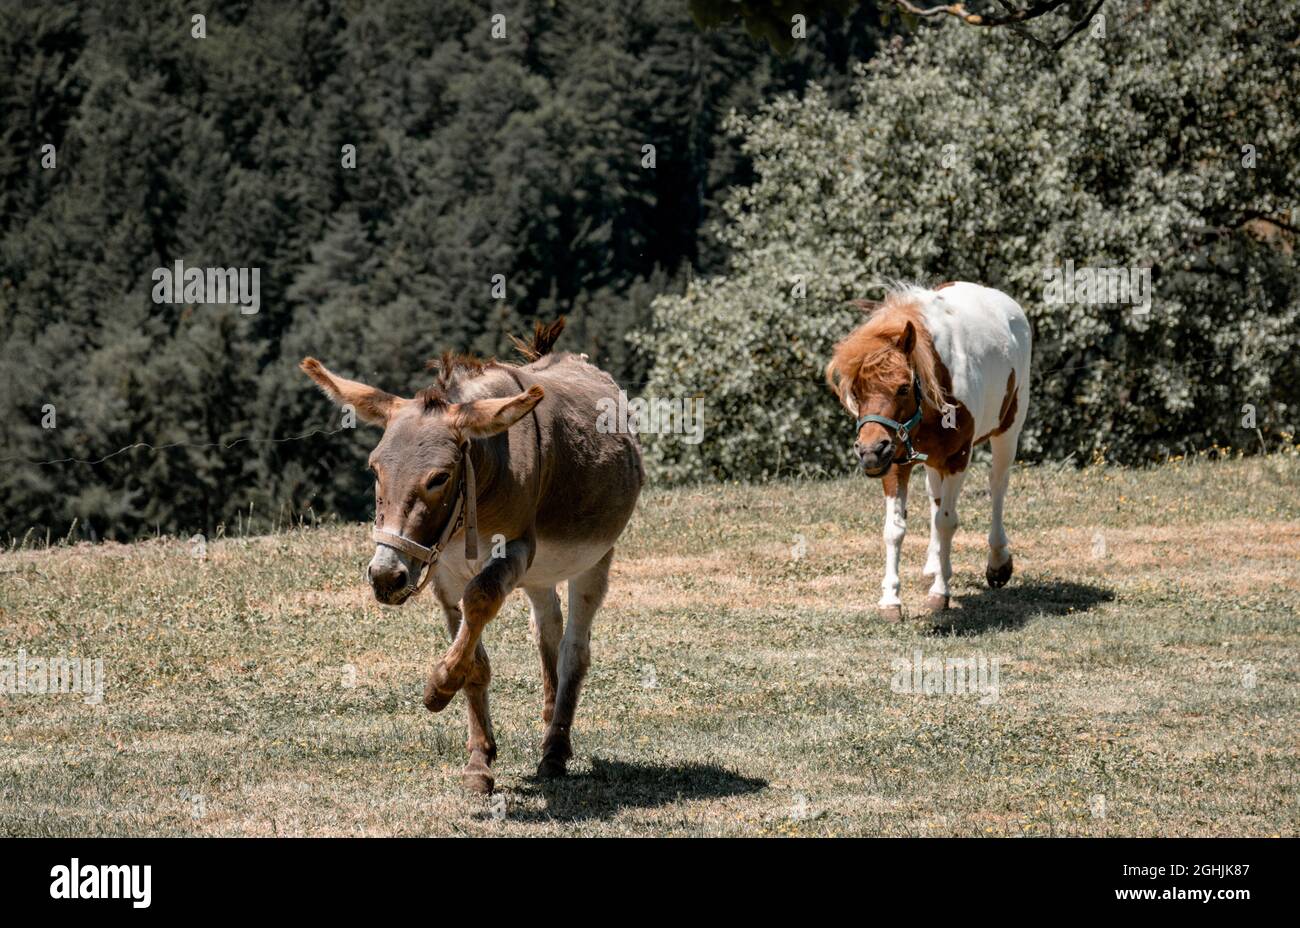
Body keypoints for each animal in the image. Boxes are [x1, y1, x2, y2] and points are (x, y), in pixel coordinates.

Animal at [300, 318, 643, 793]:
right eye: (374, 469)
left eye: (439, 478)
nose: (386, 577)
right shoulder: (445, 571)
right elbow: (473, 658)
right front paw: (480, 760)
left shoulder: (513, 550)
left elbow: (479, 601)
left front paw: (438, 689)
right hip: (540, 572)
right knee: (547, 630)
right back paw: (548, 721)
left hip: (594, 561)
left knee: (575, 648)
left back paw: (555, 751)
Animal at [825, 282, 1032, 621]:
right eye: (855, 390)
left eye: (903, 388)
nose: (870, 451)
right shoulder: (897, 461)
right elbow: (895, 528)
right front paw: (891, 599)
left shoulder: (957, 457)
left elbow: (947, 522)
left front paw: (940, 593)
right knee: (936, 498)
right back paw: (935, 564)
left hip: (1008, 430)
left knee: (998, 486)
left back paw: (997, 561)